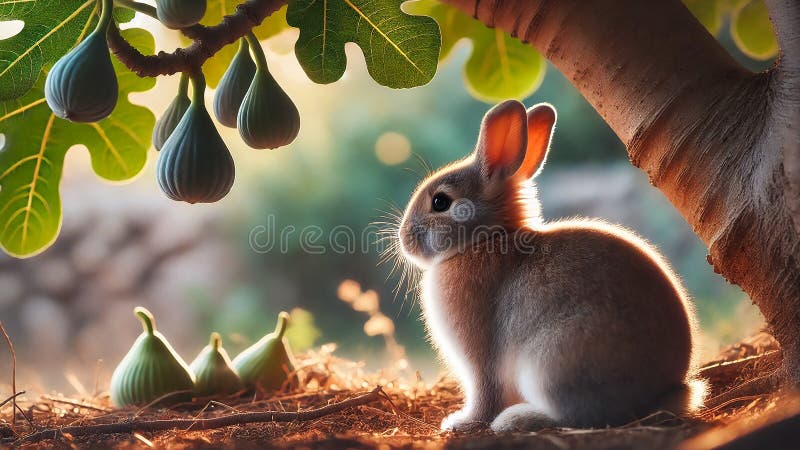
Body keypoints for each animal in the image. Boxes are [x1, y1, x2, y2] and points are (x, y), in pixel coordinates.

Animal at [397, 100, 704, 433]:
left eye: (440, 202)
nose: (403, 239)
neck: (483, 240)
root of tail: (663, 393)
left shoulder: (481, 360)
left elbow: (485, 395)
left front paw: (461, 423)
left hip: (552, 363)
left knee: (576, 416)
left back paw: (513, 420)